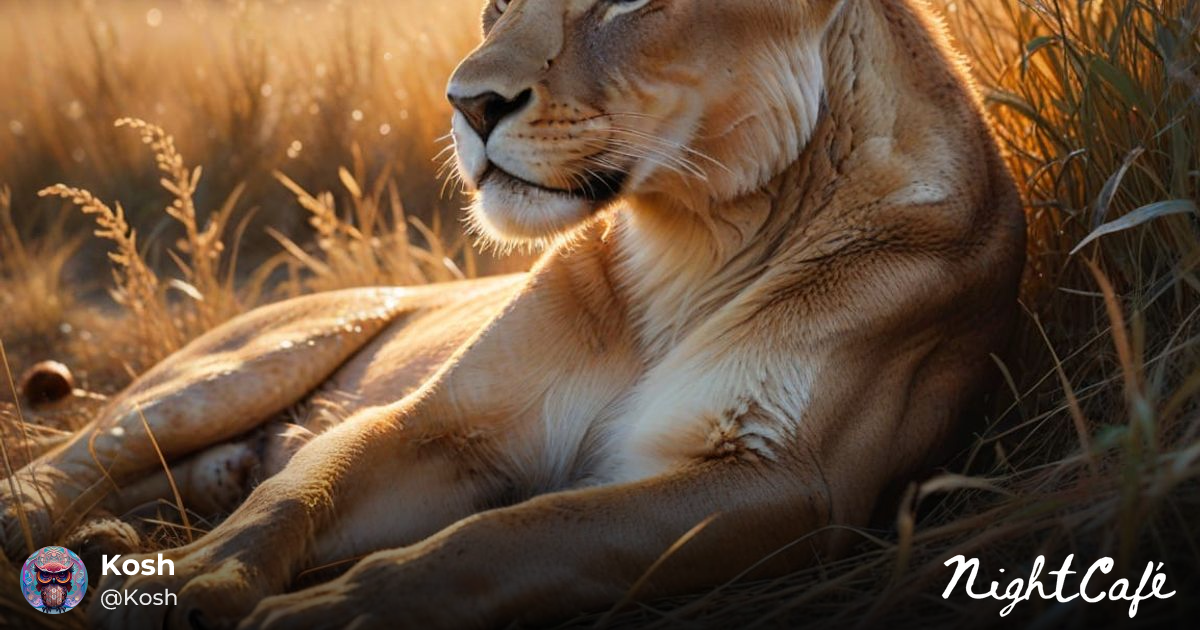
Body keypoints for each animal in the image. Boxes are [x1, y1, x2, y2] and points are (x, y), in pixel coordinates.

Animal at [1, 0, 1025, 627]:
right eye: (496, 2)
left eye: (629, 1)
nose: (466, 103)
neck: (686, 247)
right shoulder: (439, 423)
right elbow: (289, 497)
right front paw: (194, 580)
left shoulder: (785, 486)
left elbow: (512, 534)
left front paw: (328, 610)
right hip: (248, 361)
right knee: (77, 459)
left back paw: (109, 541)